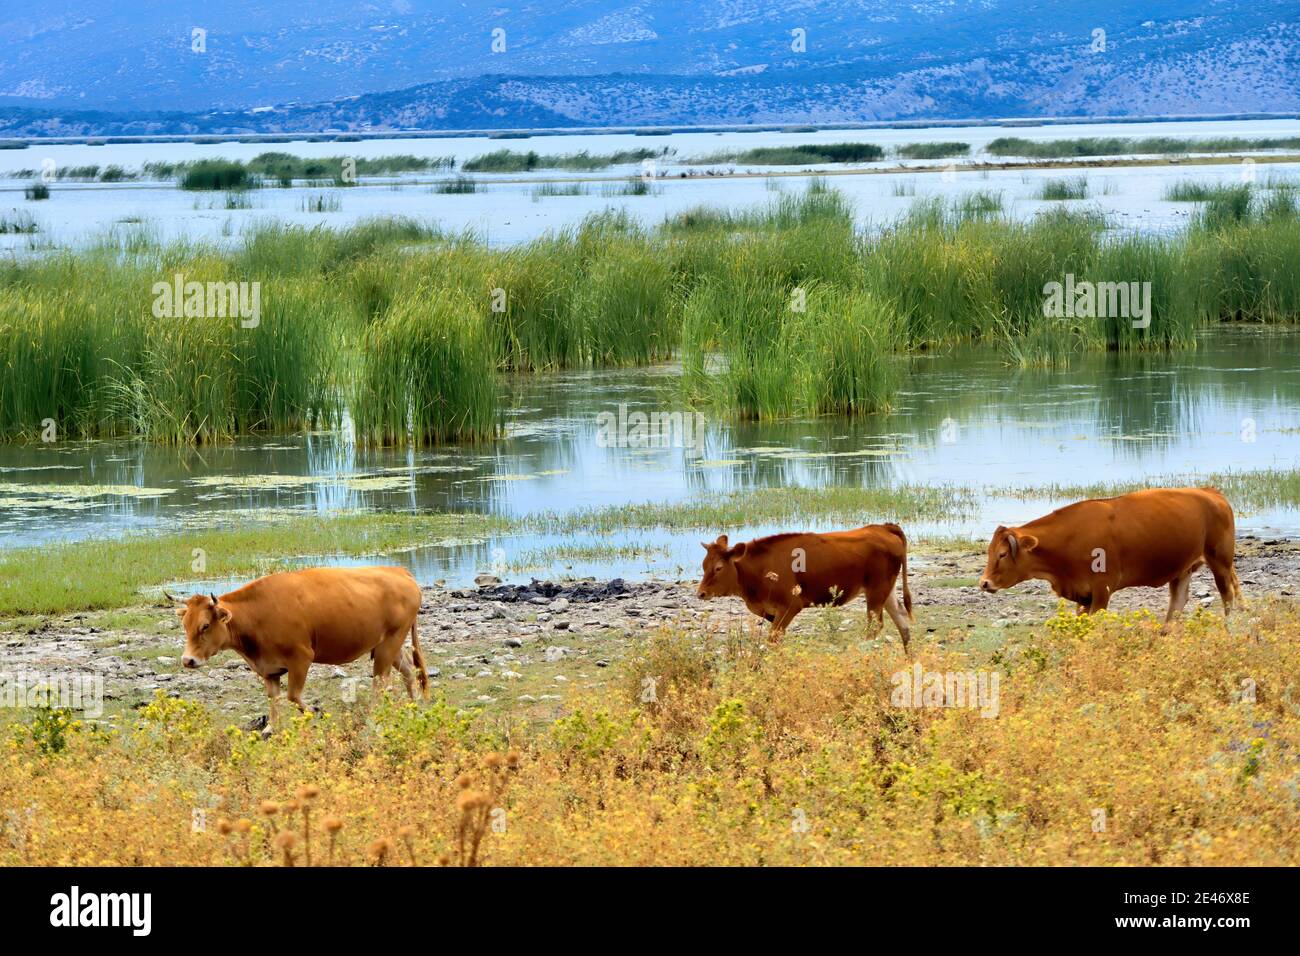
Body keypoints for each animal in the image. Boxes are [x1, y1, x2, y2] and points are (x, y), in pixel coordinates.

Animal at [170, 566, 427, 729]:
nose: (187, 660)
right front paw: (270, 729)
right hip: (388, 644)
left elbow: (293, 696)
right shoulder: (269, 669)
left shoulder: (301, 658)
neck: (257, 613)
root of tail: (397, 570)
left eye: (205, 625)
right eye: (185, 624)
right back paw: (414, 705)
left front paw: (316, 711)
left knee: (381, 683)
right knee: (408, 670)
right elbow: (273, 700)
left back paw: (374, 714)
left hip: (389, 643)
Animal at [696, 523, 913, 653]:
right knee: (902, 621)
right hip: (886, 590)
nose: (701, 593)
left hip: (876, 590)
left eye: (718, 567)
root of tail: (883, 527)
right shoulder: (771, 612)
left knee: (875, 625)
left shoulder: (791, 605)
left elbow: (773, 638)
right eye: (703, 565)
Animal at [978, 487, 1242, 630]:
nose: (984, 583)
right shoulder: (1083, 595)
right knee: (1177, 604)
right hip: (1182, 570)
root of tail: (1209, 491)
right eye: (990, 552)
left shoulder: (1101, 590)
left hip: (1220, 562)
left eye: (1002, 554)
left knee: (1227, 597)